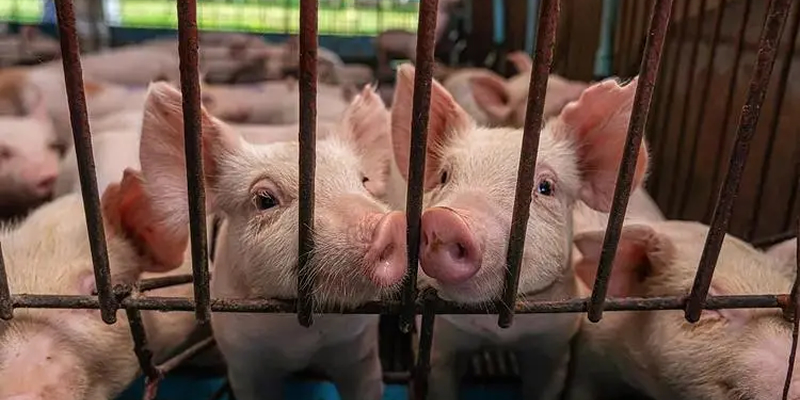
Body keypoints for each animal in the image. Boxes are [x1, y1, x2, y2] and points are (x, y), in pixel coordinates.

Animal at [135, 81, 408, 400]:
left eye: (363, 182)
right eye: (264, 199)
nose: (390, 223)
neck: (300, 336)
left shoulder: (360, 349)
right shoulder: (242, 361)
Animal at [389, 64, 649, 400]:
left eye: (545, 187)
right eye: (445, 176)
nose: (445, 221)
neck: (499, 333)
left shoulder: (555, 343)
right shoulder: (441, 340)